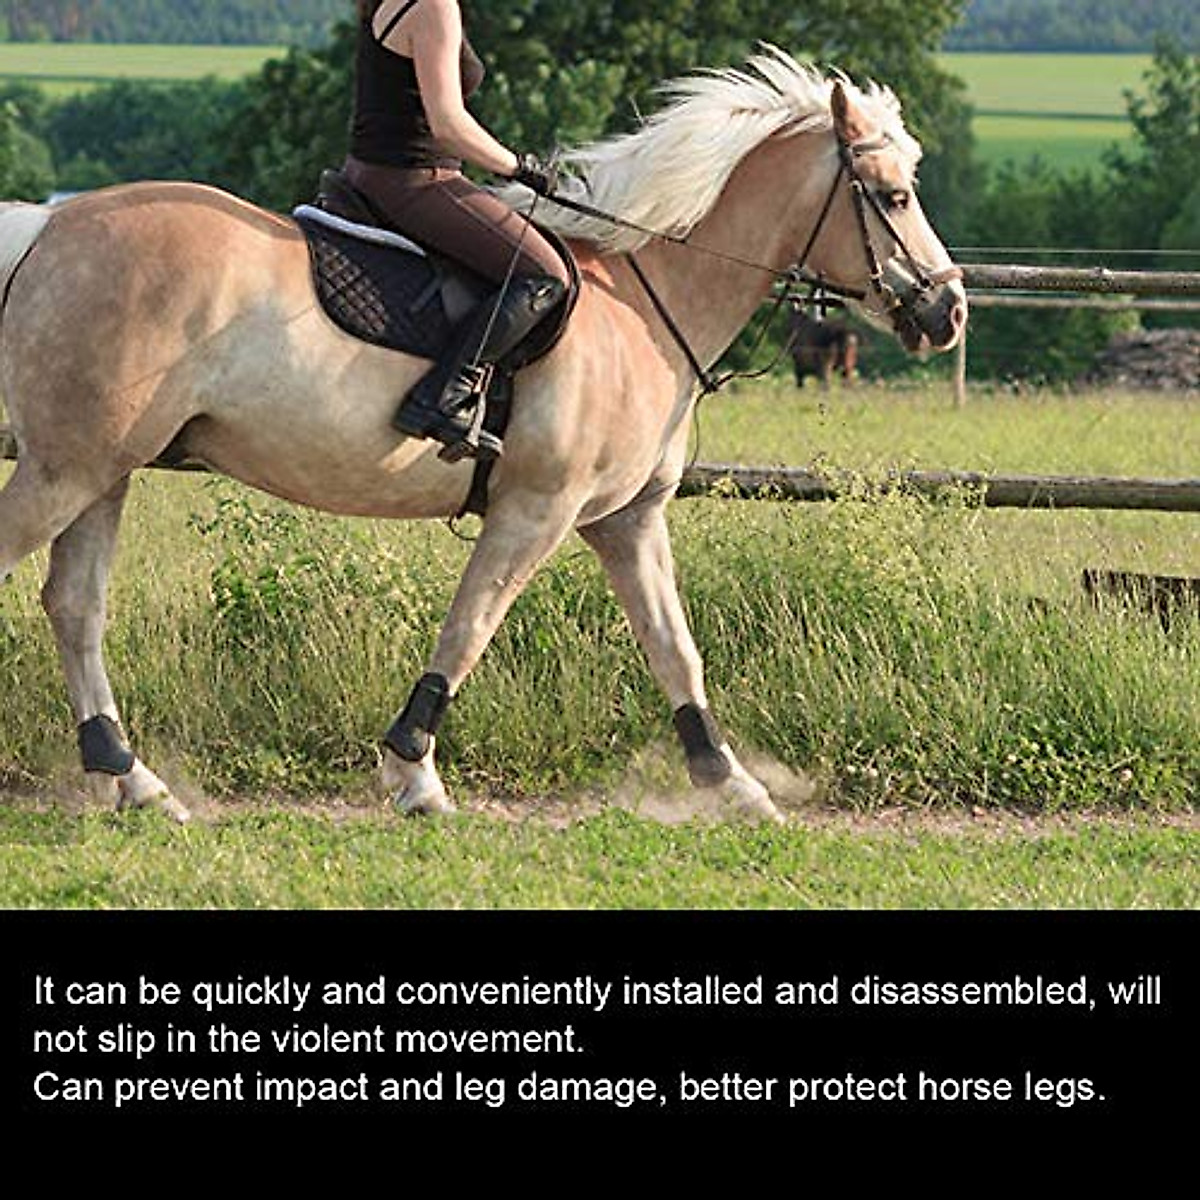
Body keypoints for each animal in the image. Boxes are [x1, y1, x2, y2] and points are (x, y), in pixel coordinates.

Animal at [0, 47, 965, 824]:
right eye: (894, 196)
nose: (948, 311)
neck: (640, 298)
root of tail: (51, 223)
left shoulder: (628, 520)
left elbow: (675, 650)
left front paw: (733, 784)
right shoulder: (536, 510)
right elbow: (469, 629)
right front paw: (415, 777)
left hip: (103, 470)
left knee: (75, 607)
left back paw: (132, 779)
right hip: (66, 467)